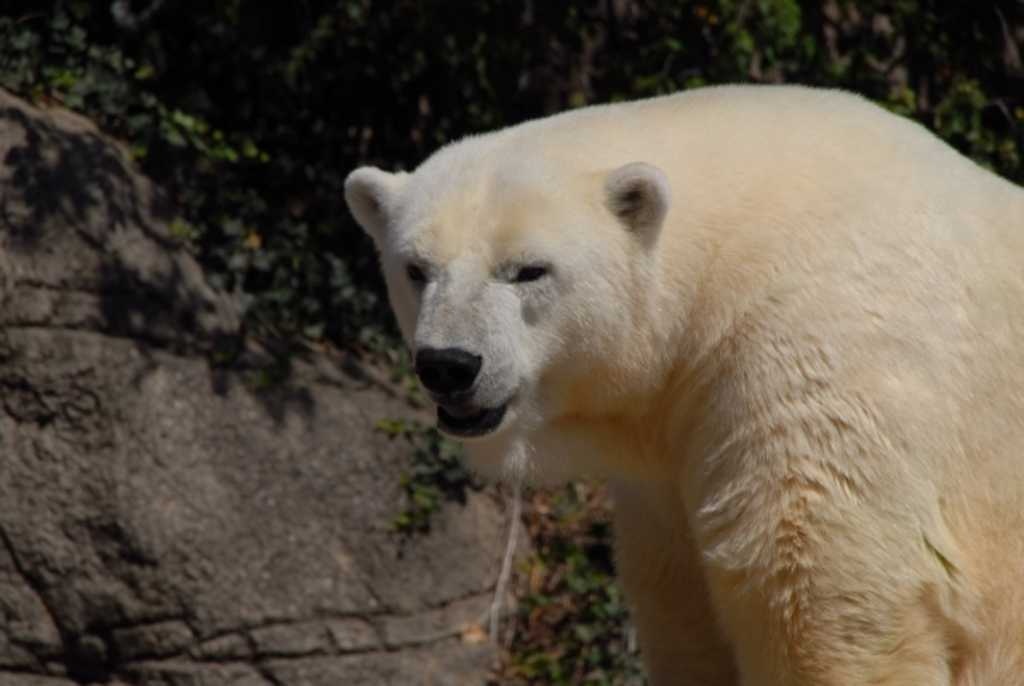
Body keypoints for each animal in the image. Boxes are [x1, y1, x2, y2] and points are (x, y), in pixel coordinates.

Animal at [344, 85, 1024, 685]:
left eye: (529, 270)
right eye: (416, 269)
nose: (449, 364)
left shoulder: (820, 356)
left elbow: (823, 593)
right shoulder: (667, 459)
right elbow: (680, 601)